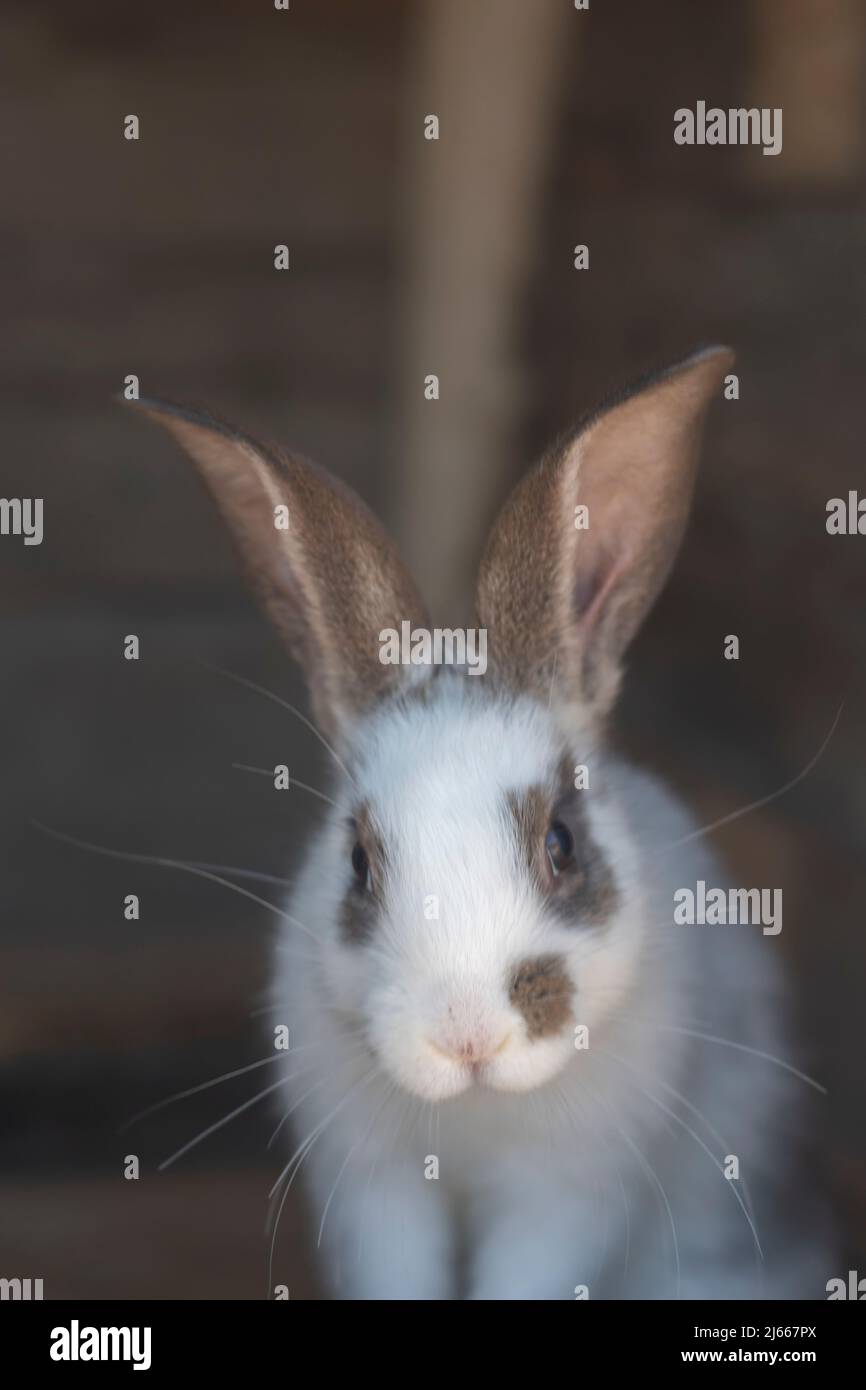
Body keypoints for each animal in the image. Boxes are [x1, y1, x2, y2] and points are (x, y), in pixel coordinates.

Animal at [131, 346, 832, 1300]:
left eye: (560, 844)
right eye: (358, 861)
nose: (466, 1034)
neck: (472, 1115)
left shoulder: (561, 1198)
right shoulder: (375, 1190)